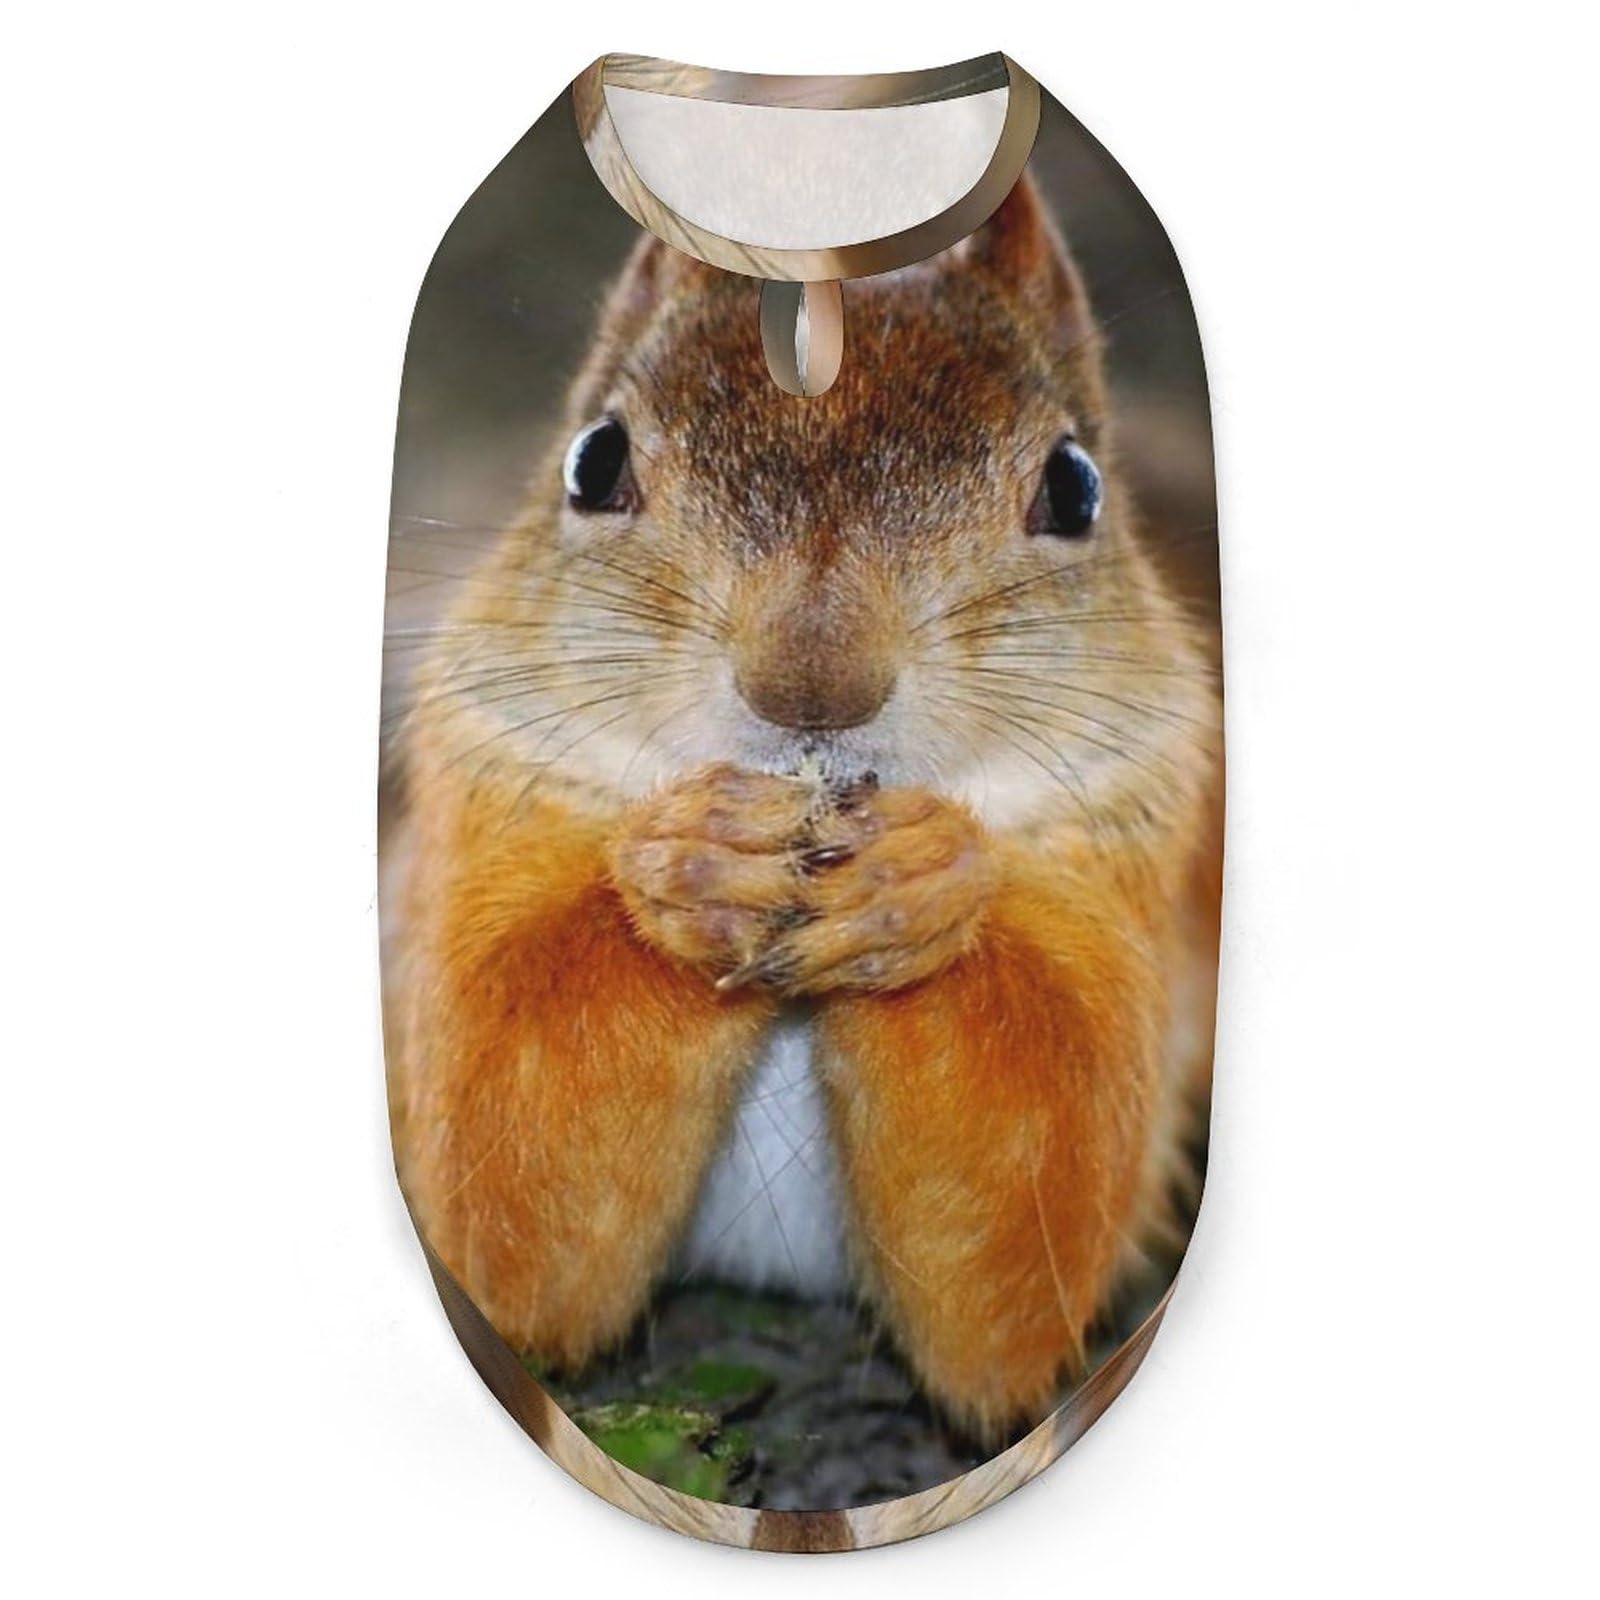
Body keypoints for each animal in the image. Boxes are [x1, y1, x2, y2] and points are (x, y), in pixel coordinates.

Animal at [384, 176, 1222, 1443]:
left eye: (1074, 488)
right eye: (592, 461)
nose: (810, 684)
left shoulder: (1131, 836)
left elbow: (1025, 1246)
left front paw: (918, 886)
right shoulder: (480, 790)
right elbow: (504, 1194)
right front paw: (690, 862)